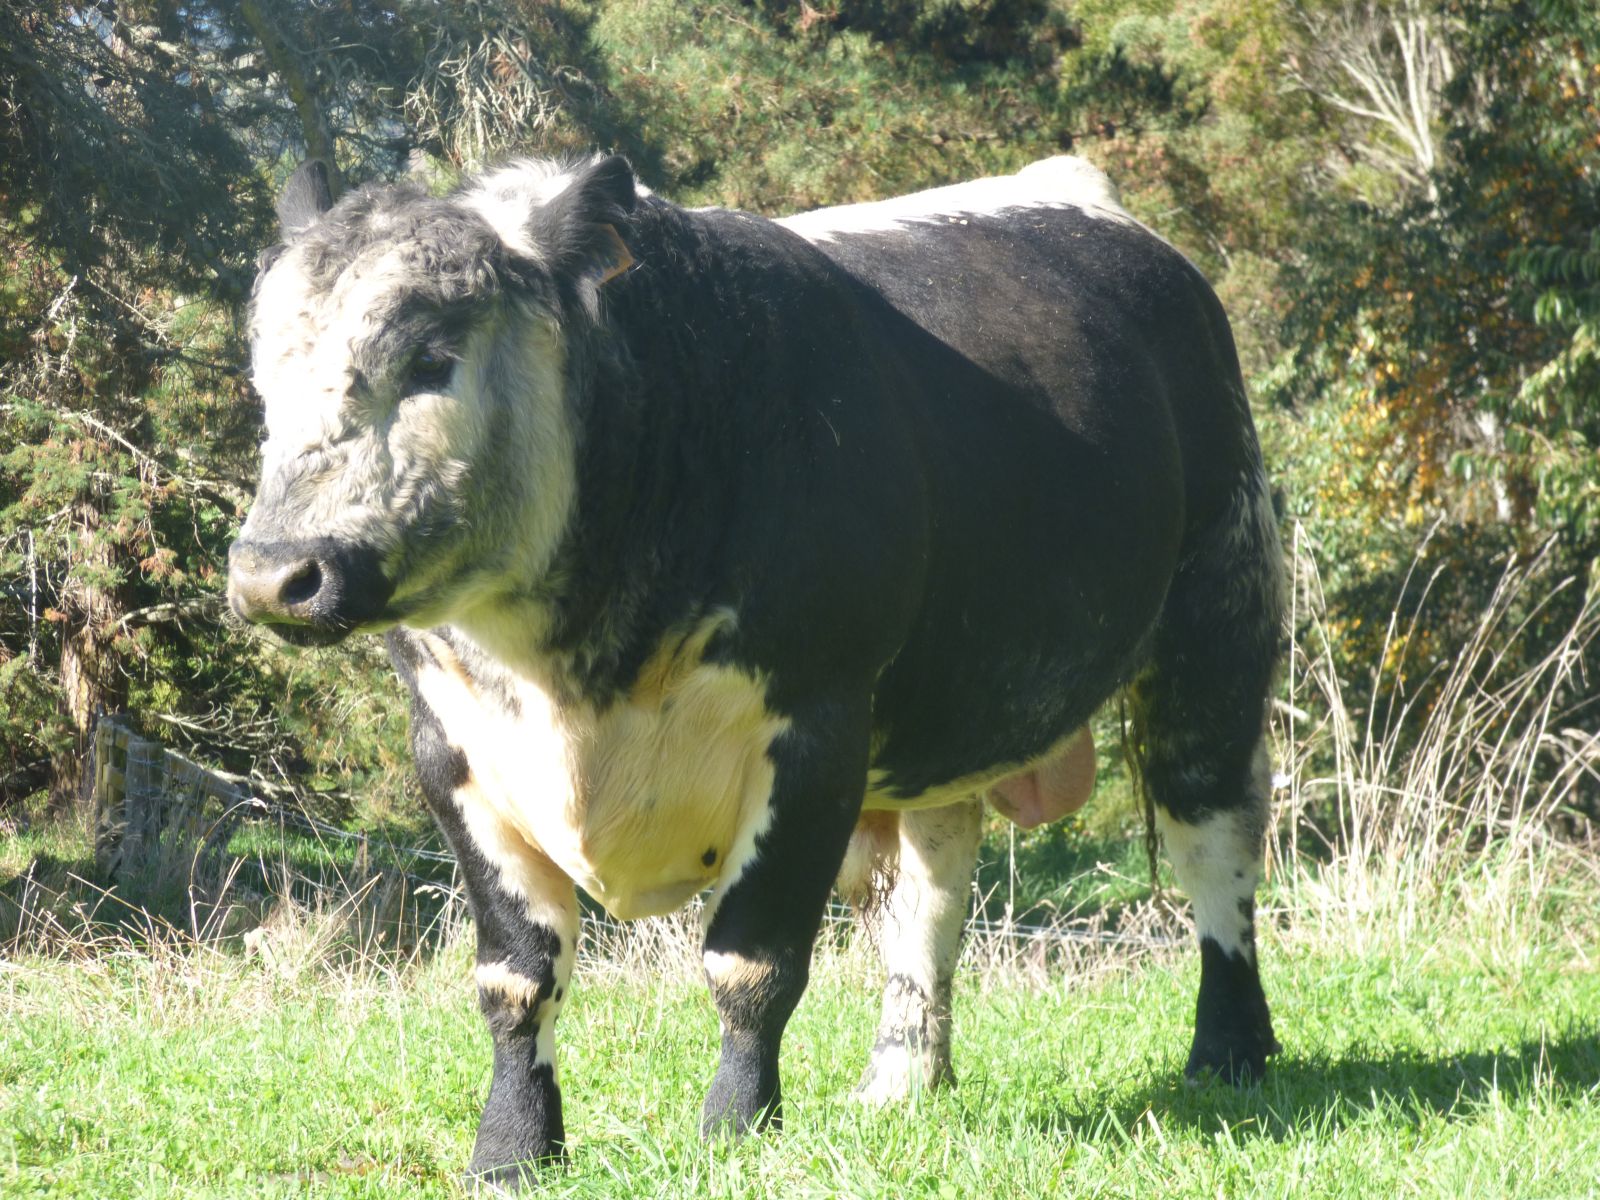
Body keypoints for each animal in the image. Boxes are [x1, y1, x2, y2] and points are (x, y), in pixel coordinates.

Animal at [227, 152, 1283, 1188]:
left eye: (430, 359)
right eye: (265, 372)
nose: (275, 573)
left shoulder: (815, 728)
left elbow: (752, 963)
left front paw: (735, 1129)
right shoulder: (452, 753)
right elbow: (517, 975)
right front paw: (512, 1150)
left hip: (1219, 627)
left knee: (1214, 845)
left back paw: (1230, 1056)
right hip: (940, 721)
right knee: (932, 885)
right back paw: (902, 1078)